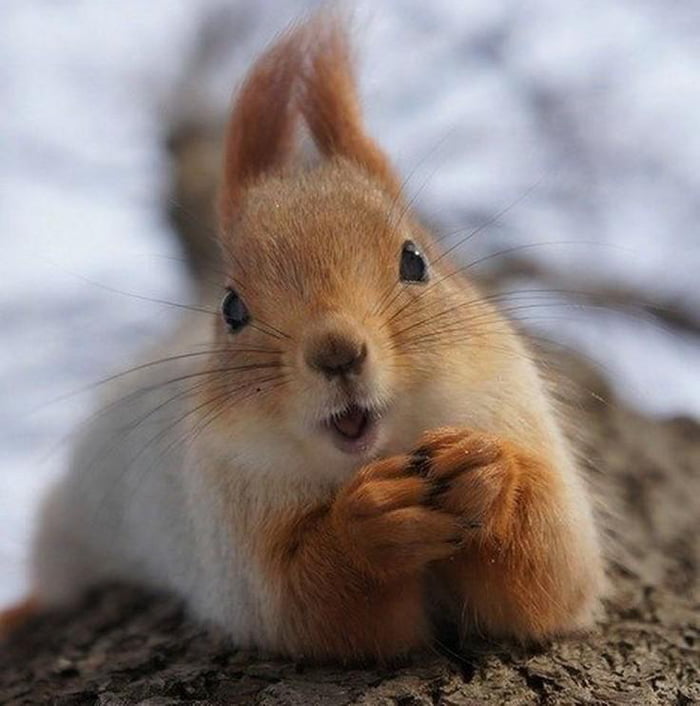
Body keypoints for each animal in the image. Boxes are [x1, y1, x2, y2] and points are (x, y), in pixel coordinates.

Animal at [1, 16, 603, 662]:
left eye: (416, 261)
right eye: (231, 308)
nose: (335, 351)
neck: (373, 454)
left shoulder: (512, 409)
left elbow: (551, 573)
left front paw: (485, 470)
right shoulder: (234, 525)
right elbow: (311, 604)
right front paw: (369, 522)